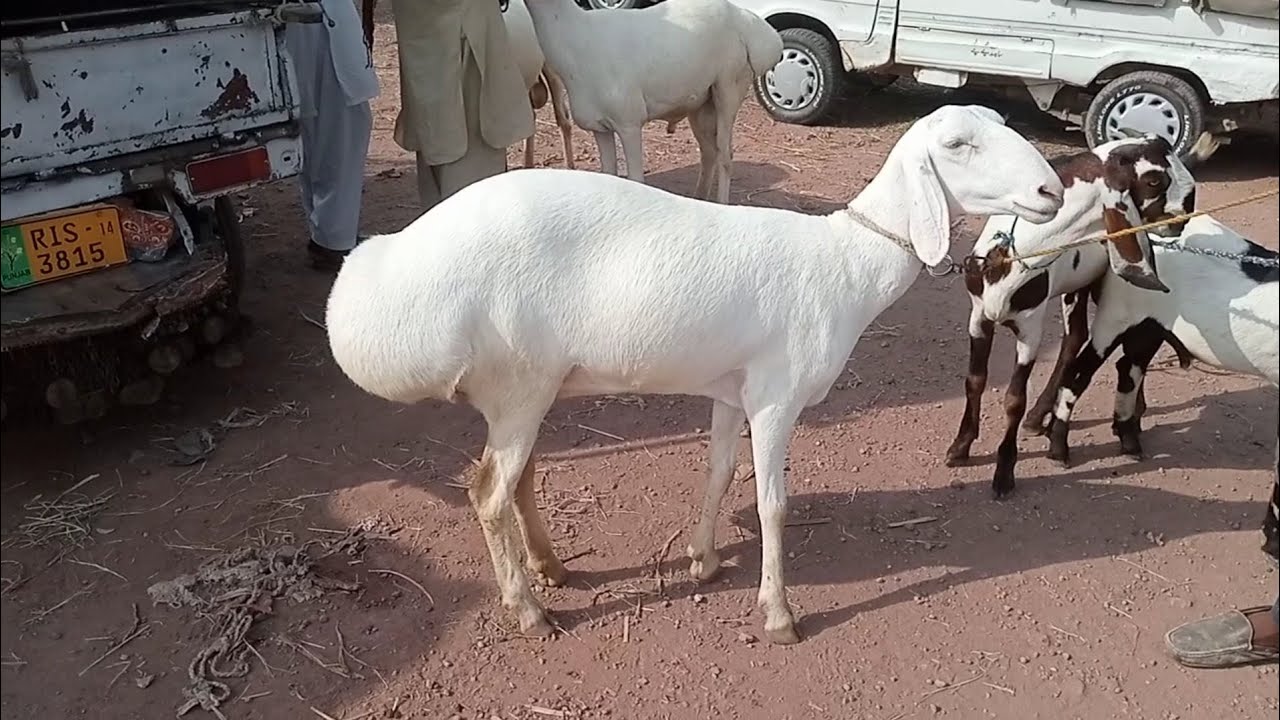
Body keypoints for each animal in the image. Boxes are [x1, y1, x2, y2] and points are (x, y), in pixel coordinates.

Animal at [325, 105, 1065, 644]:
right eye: (959, 144)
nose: (1051, 190)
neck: (846, 263)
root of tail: (387, 270)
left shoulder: (734, 389)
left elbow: (719, 471)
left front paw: (702, 560)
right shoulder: (776, 397)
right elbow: (772, 503)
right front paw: (778, 615)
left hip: (529, 389)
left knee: (517, 481)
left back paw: (551, 569)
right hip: (518, 383)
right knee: (486, 495)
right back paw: (529, 610)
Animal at [523, 0, 783, 203]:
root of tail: (755, 27)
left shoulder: (629, 121)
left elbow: (636, 179)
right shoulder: (600, 127)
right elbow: (609, 174)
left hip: (729, 84)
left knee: (726, 154)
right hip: (700, 102)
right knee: (709, 151)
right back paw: (698, 198)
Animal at [944, 132, 1218, 498]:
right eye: (1154, 179)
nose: (1181, 218)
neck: (1015, 252)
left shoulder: (1030, 328)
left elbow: (1014, 399)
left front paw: (1004, 474)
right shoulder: (979, 317)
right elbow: (974, 381)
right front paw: (960, 448)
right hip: (1077, 288)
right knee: (1077, 339)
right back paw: (1044, 419)